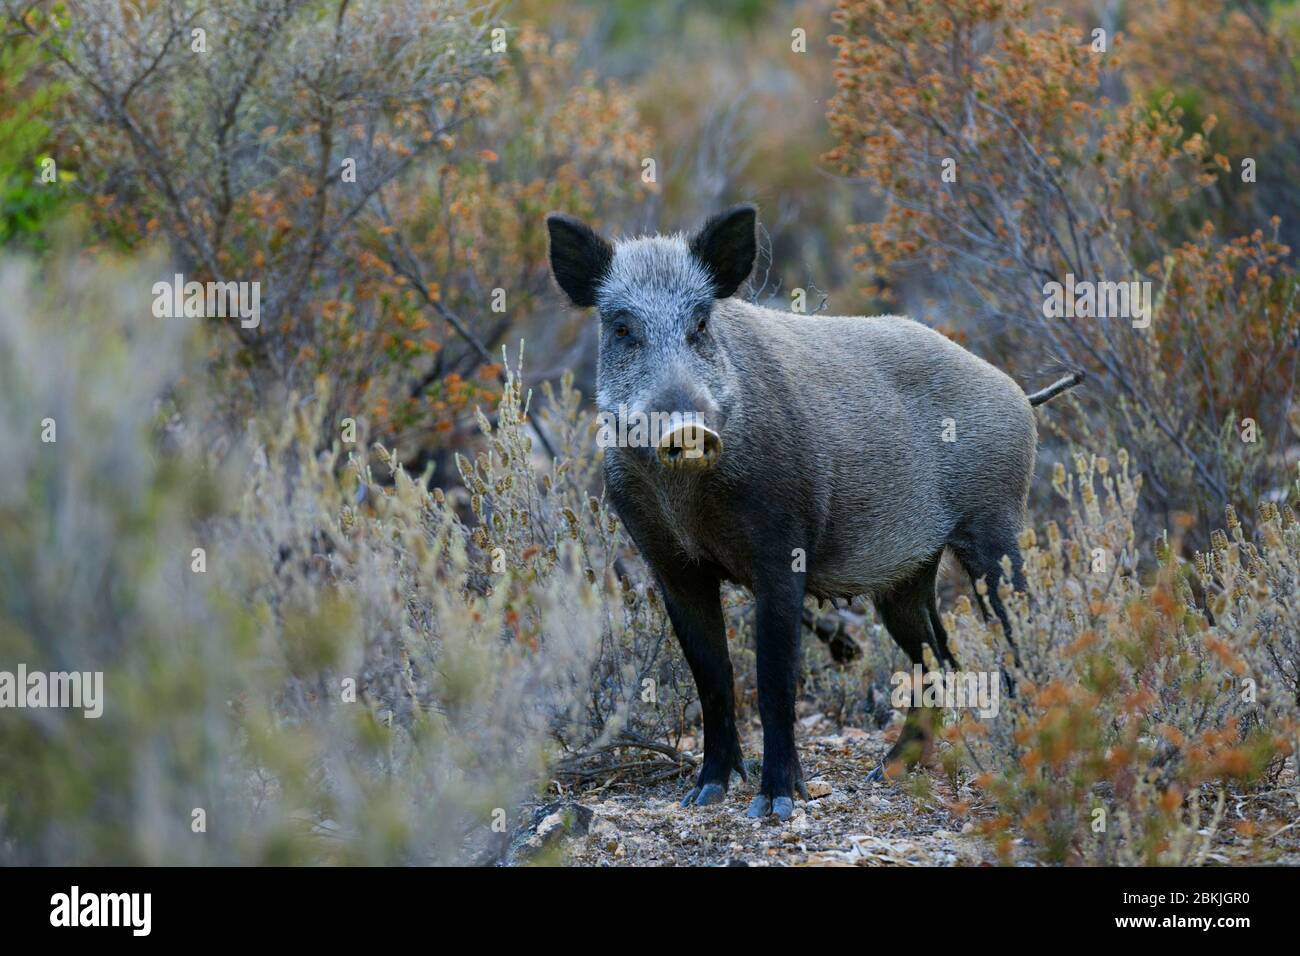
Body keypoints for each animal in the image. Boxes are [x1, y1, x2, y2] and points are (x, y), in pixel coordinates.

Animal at [546, 204, 1082, 820]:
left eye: (701, 323)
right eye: (621, 328)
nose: (686, 427)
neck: (686, 498)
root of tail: (1018, 394)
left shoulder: (783, 547)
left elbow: (775, 678)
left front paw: (776, 805)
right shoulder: (669, 564)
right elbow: (713, 676)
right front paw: (703, 794)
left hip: (995, 527)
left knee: (1015, 638)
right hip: (907, 575)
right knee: (939, 656)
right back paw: (885, 772)